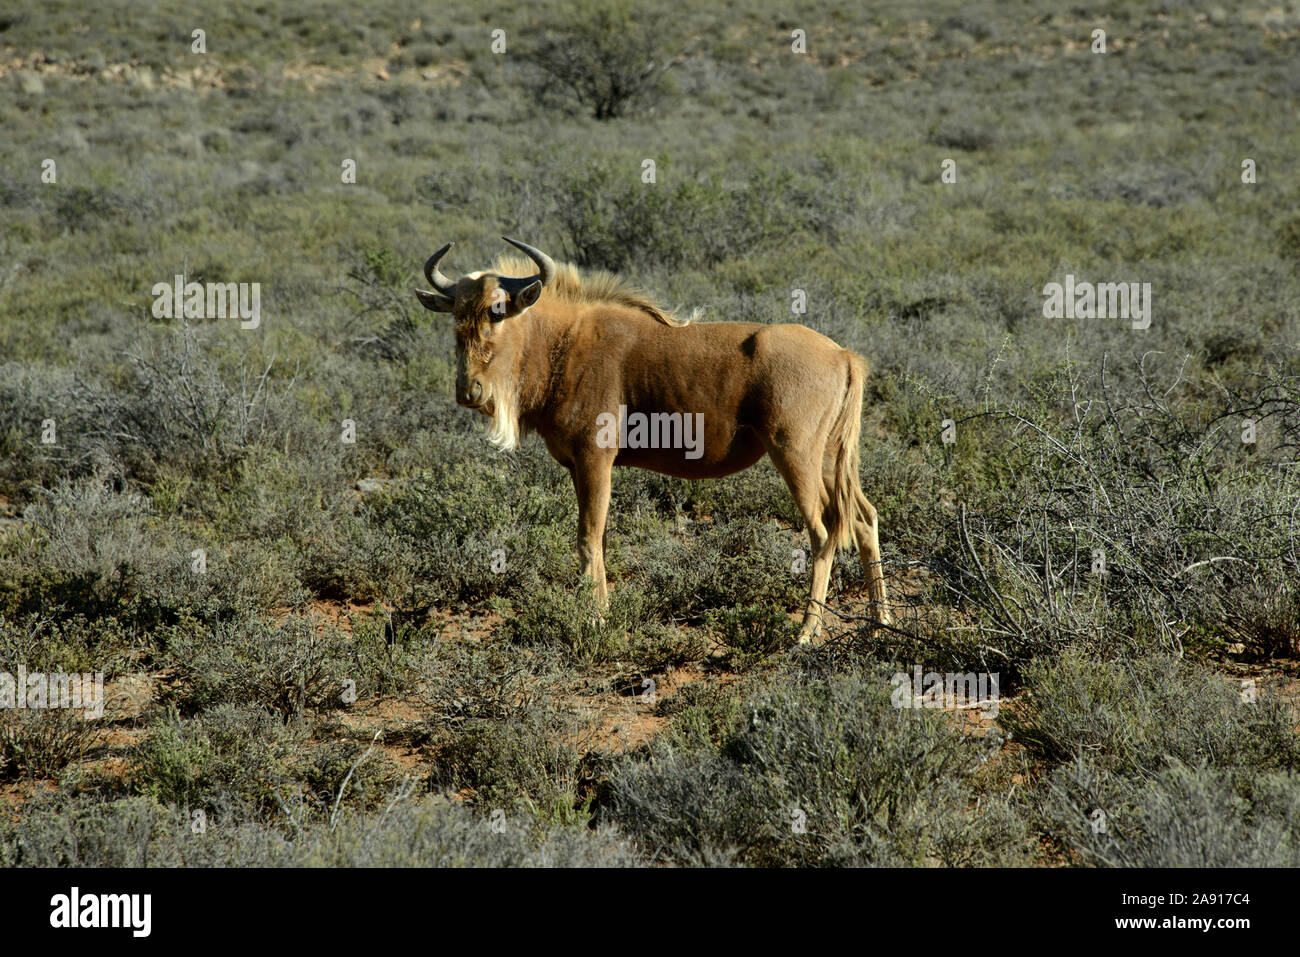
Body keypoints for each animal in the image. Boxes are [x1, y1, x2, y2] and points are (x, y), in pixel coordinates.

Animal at [415, 238, 889, 641]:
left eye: (497, 311)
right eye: (457, 316)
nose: (469, 391)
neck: (562, 344)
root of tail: (843, 355)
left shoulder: (595, 460)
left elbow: (588, 537)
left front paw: (596, 618)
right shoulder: (580, 468)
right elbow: (598, 539)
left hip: (795, 455)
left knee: (823, 532)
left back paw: (808, 631)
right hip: (829, 461)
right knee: (863, 519)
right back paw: (880, 623)